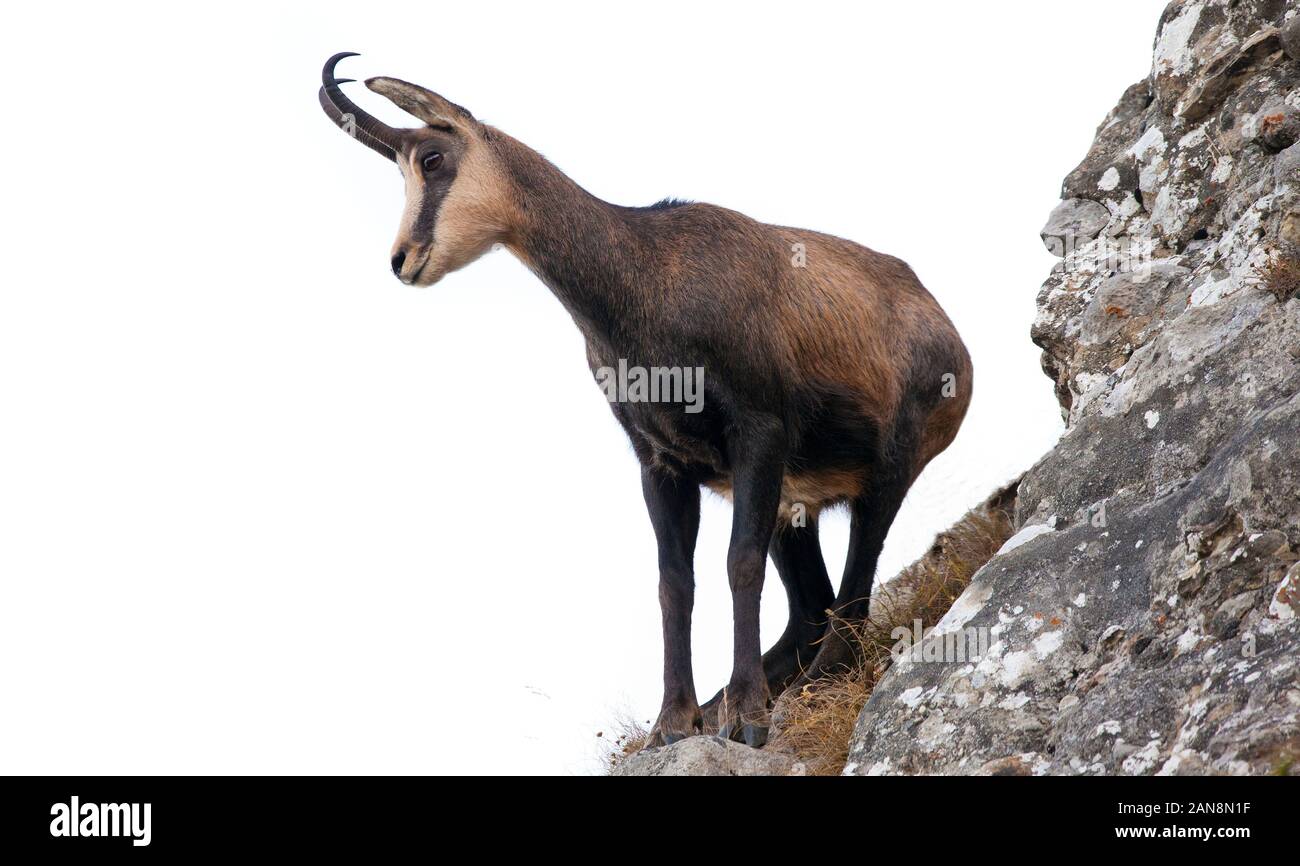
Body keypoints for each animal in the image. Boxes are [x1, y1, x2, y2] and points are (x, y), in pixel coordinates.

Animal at [319, 53, 972, 747]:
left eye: (434, 158)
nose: (402, 260)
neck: (646, 275)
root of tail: (949, 332)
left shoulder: (758, 433)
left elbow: (739, 562)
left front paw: (746, 717)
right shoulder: (660, 461)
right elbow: (672, 584)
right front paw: (675, 722)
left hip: (888, 466)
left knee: (853, 589)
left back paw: (804, 685)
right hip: (796, 498)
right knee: (812, 608)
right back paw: (736, 695)